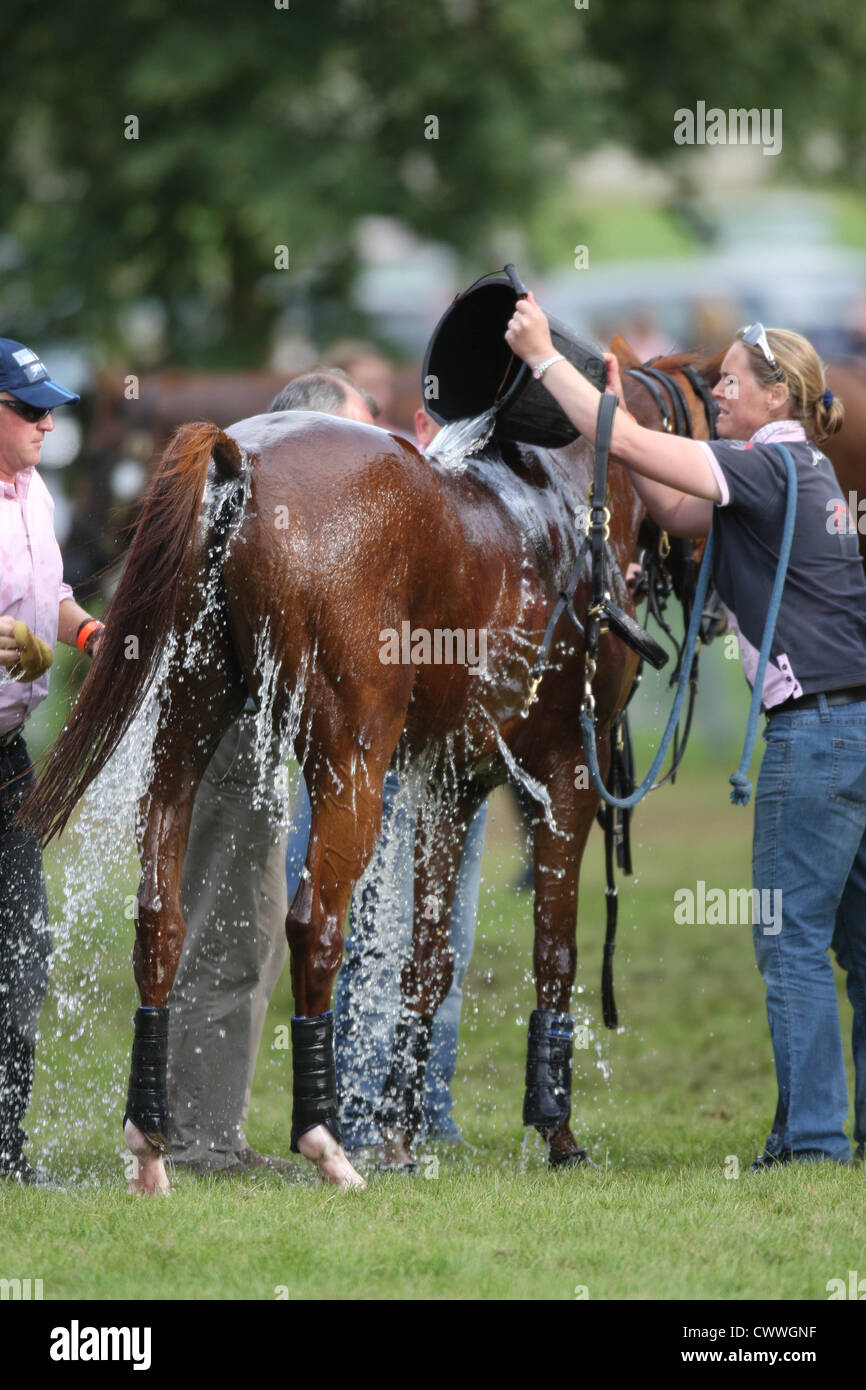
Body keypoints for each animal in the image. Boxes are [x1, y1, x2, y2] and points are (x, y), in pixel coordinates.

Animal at [26, 339, 720, 1194]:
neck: (565, 497)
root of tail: (239, 462)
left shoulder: (456, 785)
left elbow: (428, 961)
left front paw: (400, 1136)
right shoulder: (568, 782)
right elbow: (554, 953)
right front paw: (556, 1130)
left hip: (185, 730)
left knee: (161, 917)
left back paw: (151, 1140)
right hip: (350, 769)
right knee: (313, 926)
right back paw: (322, 1139)